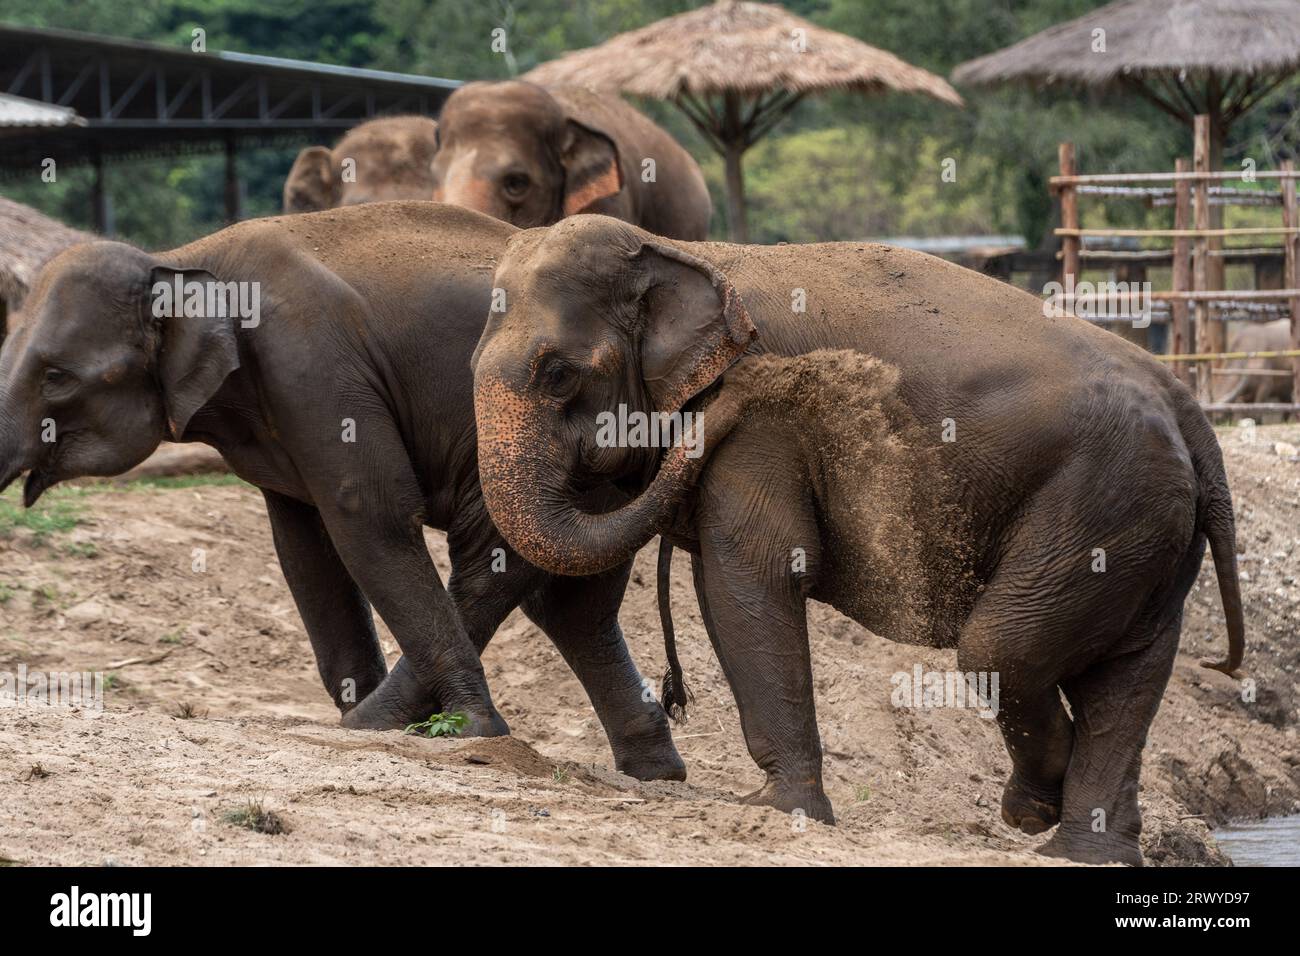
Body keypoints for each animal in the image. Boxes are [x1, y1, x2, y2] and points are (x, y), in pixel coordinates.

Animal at [0, 201, 684, 782]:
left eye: (57, 377)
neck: (179, 258)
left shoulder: (311, 365)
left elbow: (367, 513)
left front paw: (455, 733)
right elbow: (306, 549)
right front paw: (360, 712)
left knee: (501, 564)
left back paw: (415, 725)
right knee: (573, 604)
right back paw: (654, 772)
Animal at [470, 215, 1247, 866]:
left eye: (558, 373)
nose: (746, 392)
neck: (680, 250)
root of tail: (1190, 410)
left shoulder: (764, 435)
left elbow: (751, 572)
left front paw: (779, 810)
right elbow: (729, 587)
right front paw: (776, 805)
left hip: (1103, 503)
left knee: (1003, 649)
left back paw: (1032, 812)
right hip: (1145, 530)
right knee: (1128, 671)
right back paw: (1082, 851)